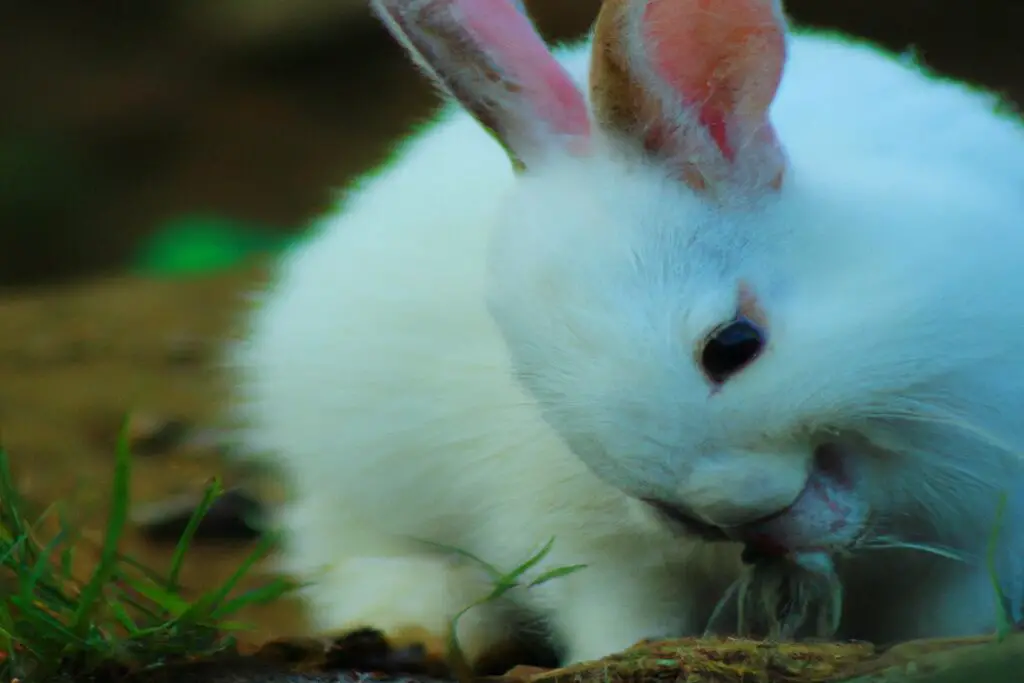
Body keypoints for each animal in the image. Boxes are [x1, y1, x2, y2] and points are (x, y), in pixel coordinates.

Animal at [224, 0, 1024, 667]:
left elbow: (952, 616)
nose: (714, 510)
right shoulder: (594, 552)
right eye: (530, 374)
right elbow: (620, 615)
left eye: (734, 345)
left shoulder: (971, 536)